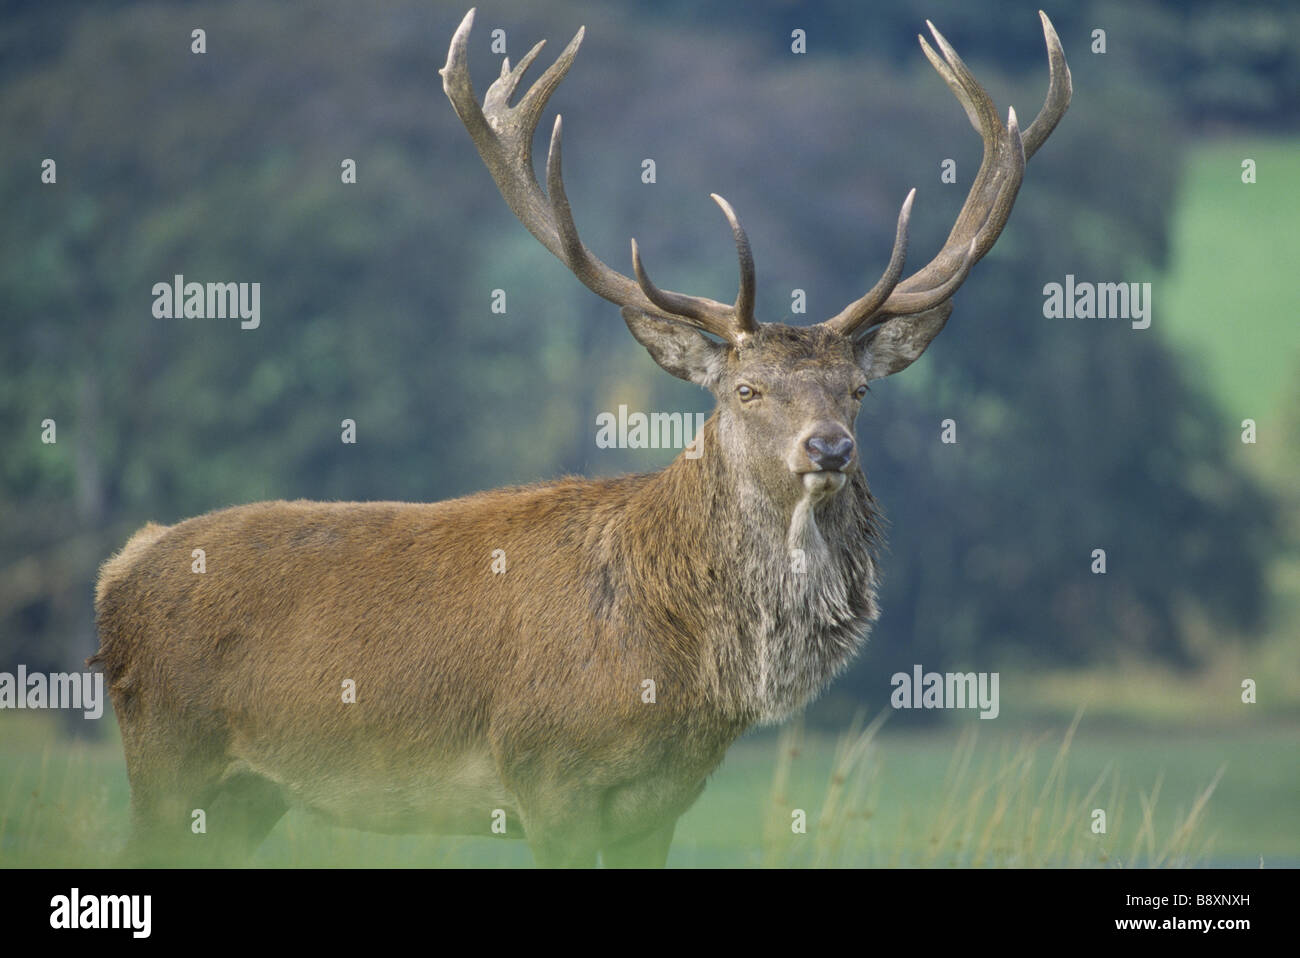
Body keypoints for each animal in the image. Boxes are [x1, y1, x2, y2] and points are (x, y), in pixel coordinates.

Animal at [91, 8, 1069, 867]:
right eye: (746, 389)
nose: (829, 448)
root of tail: (117, 574)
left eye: (858, 389)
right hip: (170, 757)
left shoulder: (662, 800)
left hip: (243, 794)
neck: (676, 662)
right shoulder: (544, 777)